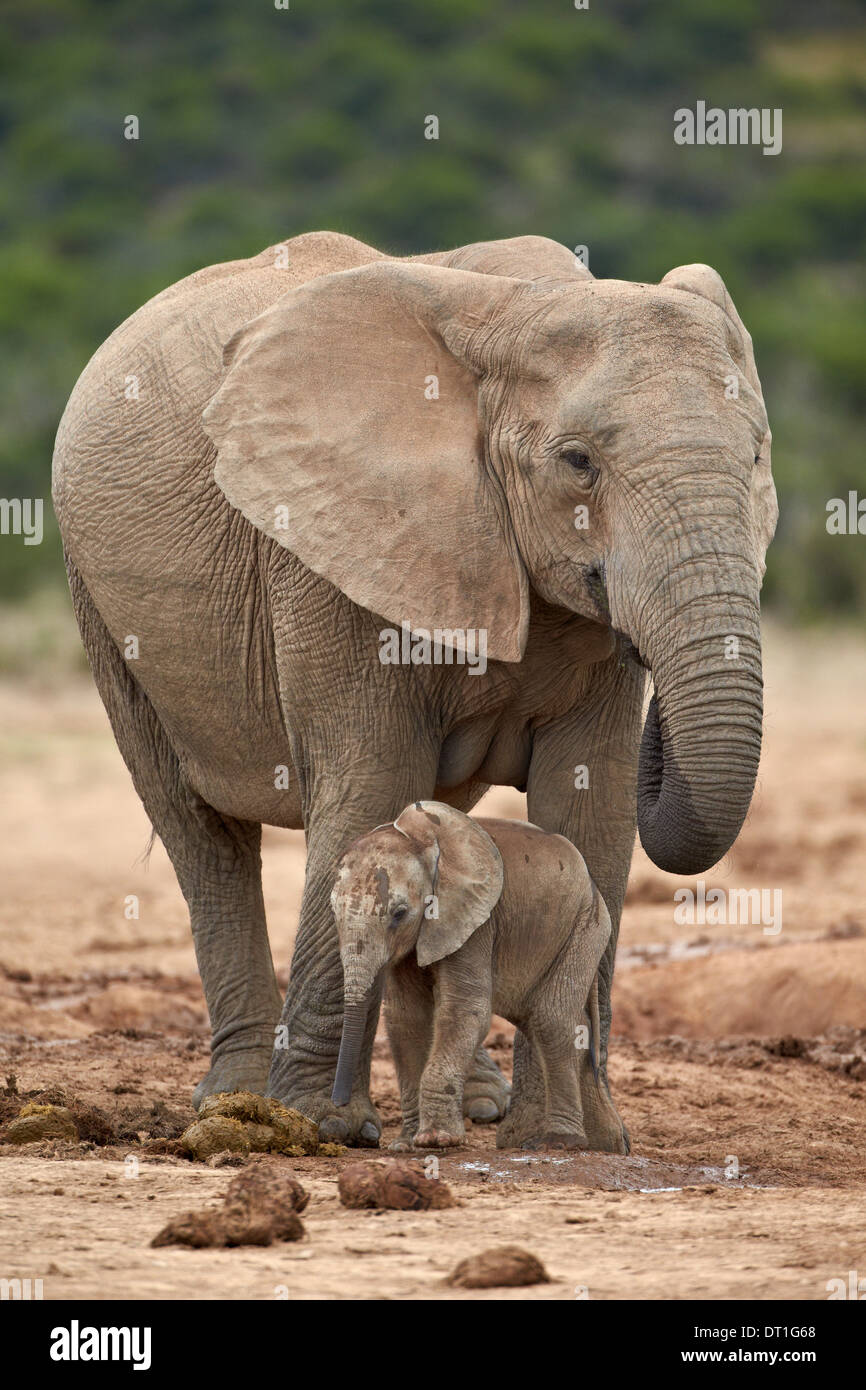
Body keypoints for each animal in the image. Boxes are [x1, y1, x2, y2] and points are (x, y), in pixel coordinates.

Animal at [331, 800, 622, 1153]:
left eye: (399, 914)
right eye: (333, 911)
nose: (339, 1103)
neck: (422, 840)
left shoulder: (476, 923)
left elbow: (463, 1011)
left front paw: (437, 1141)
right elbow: (407, 1018)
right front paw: (406, 1145)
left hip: (586, 927)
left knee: (552, 1020)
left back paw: (561, 1142)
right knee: (549, 1021)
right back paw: (601, 1144)